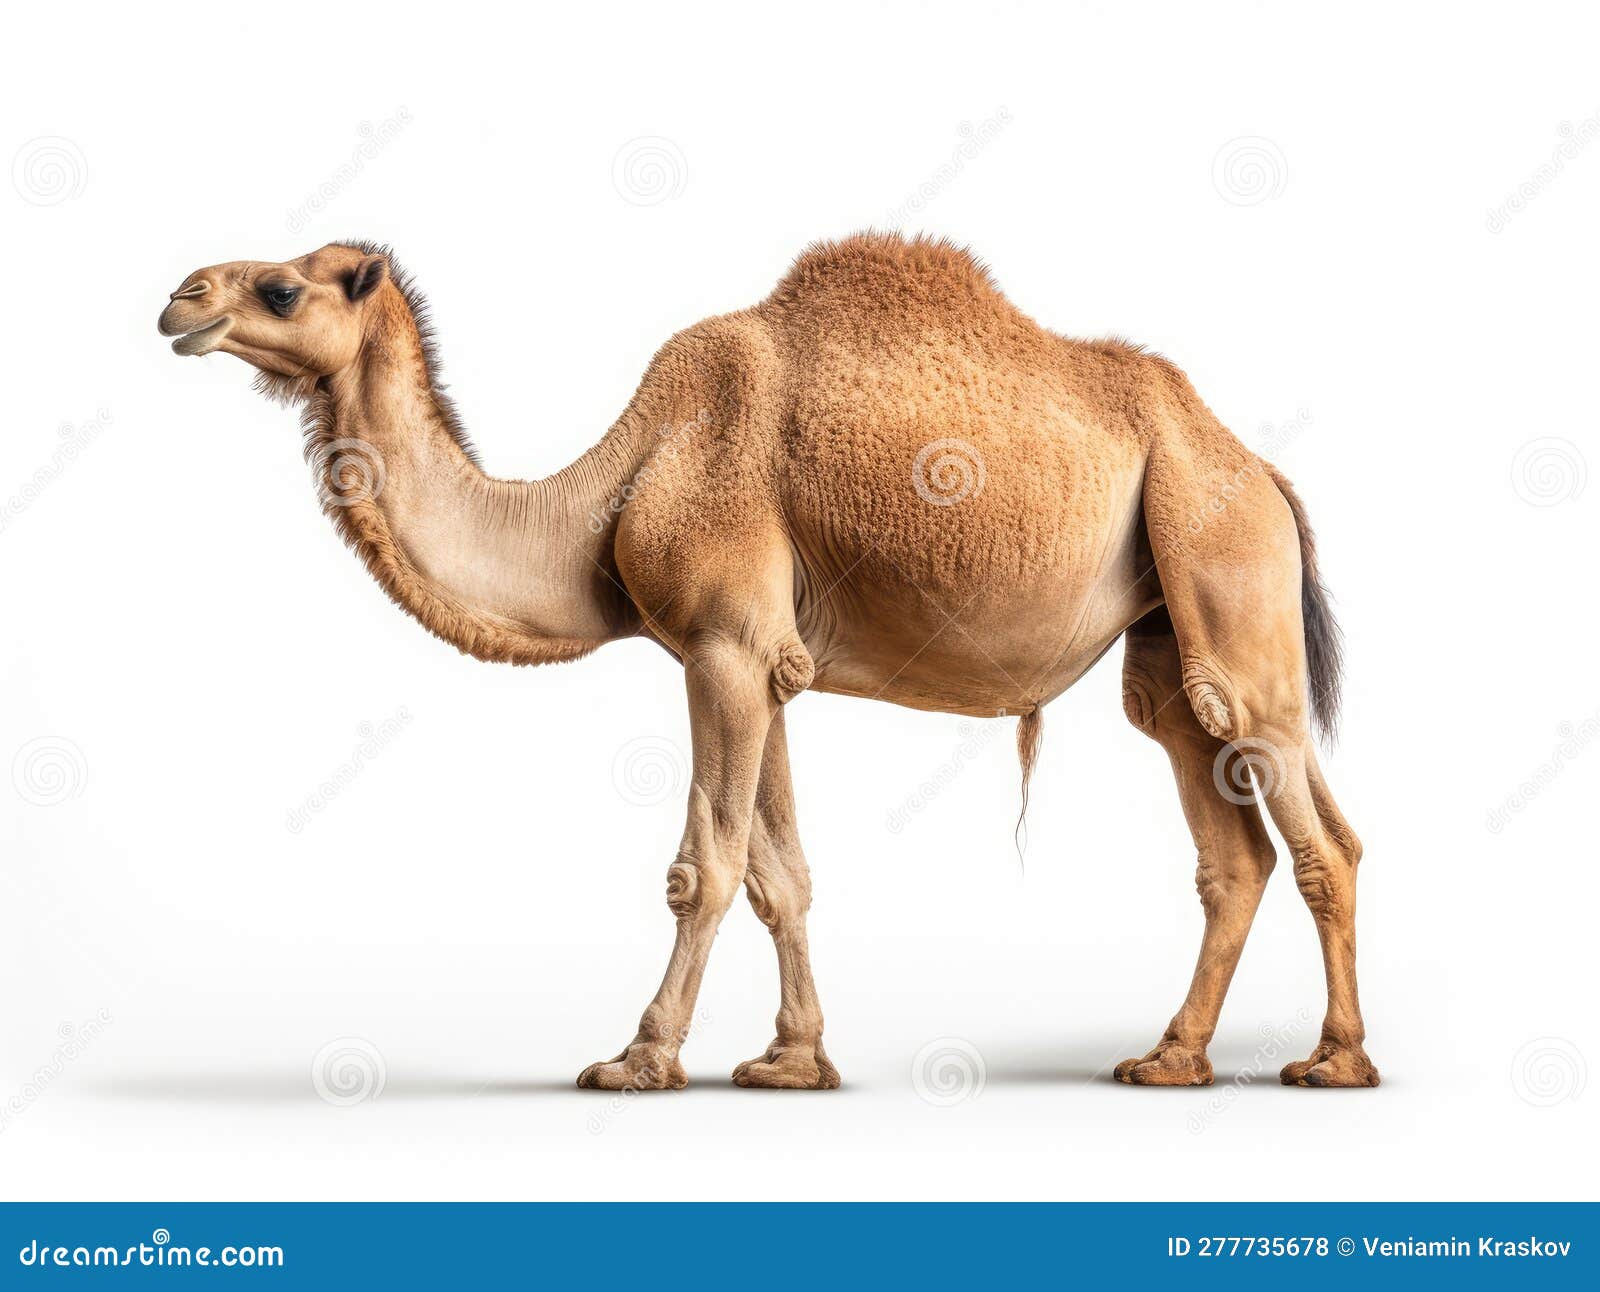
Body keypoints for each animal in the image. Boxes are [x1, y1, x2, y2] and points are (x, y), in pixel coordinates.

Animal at [157, 233, 1377, 1090]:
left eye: (282, 289)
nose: (181, 297)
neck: (619, 480)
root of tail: (1261, 469)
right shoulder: (767, 659)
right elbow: (778, 872)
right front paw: (793, 1061)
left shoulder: (724, 648)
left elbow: (702, 864)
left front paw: (638, 1058)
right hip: (1169, 628)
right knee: (1227, 838)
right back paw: (1170, 1057)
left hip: (1222, 557)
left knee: (1317, 831)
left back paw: (1333, 1061)